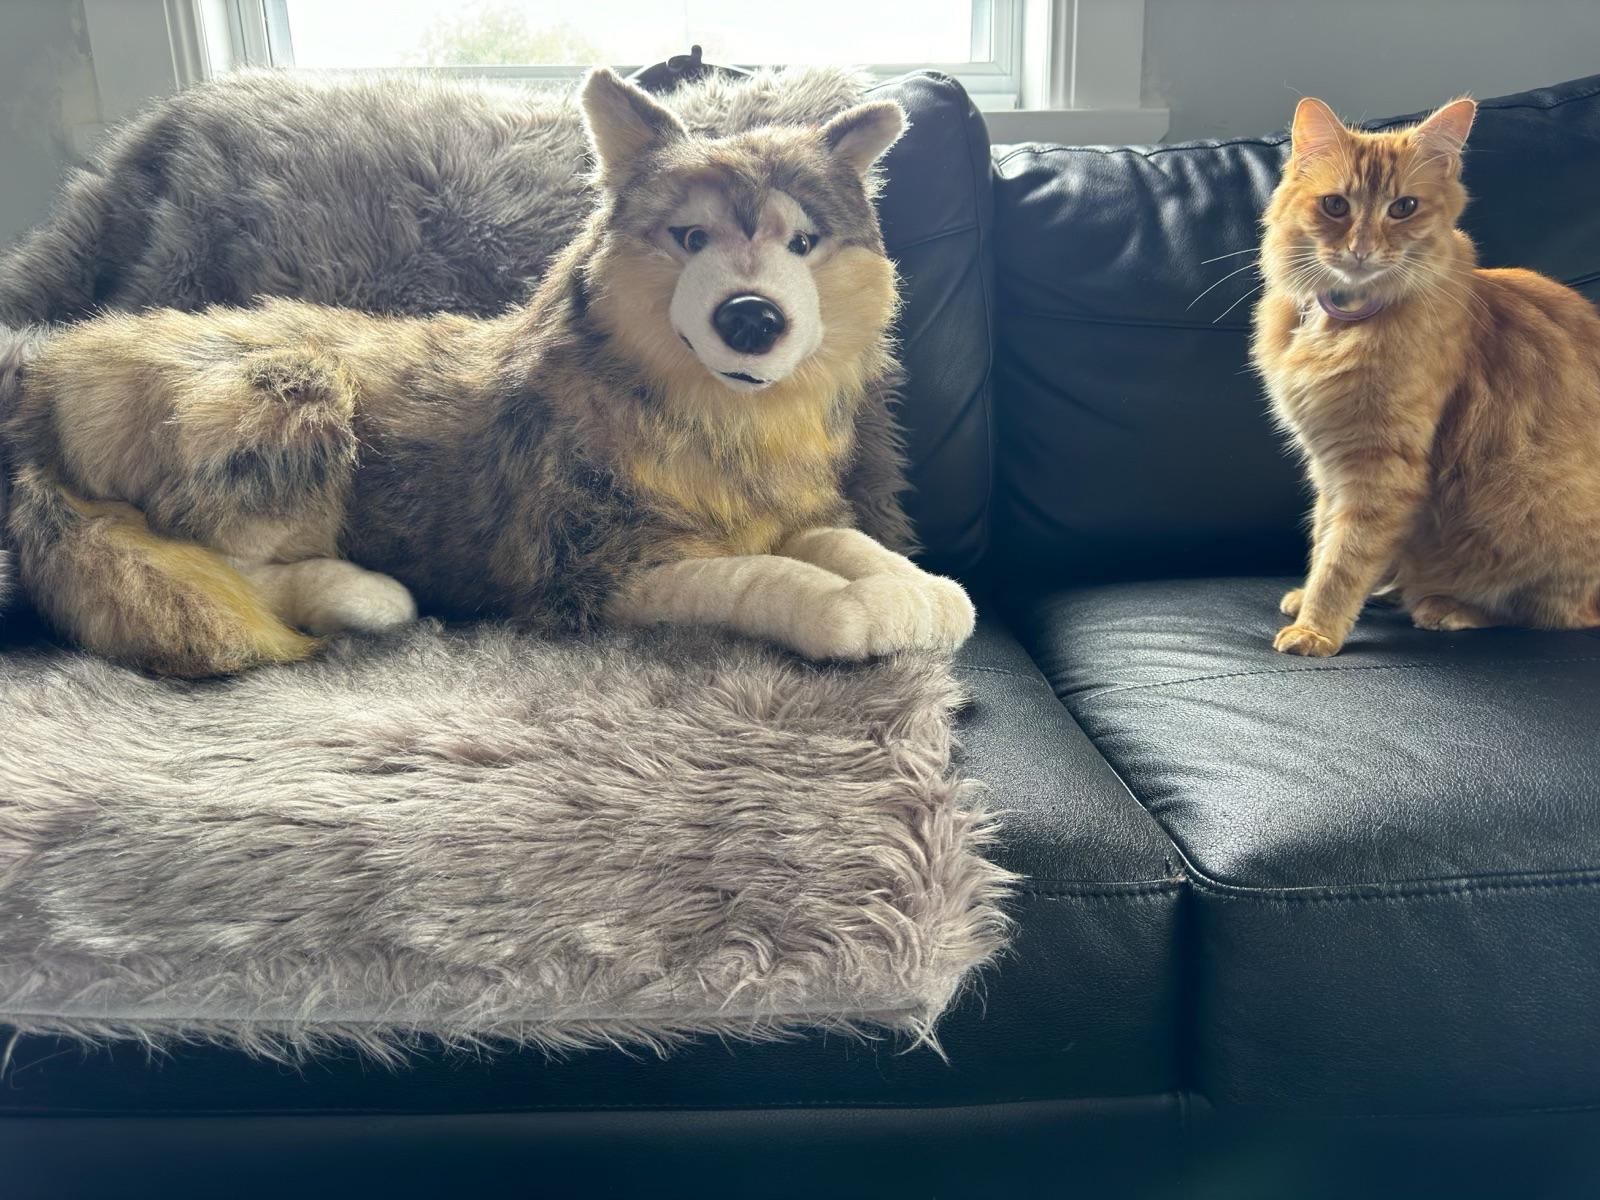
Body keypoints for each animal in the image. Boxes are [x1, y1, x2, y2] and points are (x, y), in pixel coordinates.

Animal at [1, 69, 974, 677]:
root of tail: (61, 360)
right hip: (294, 392)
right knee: (225, 563)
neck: (709, 421)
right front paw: (852, 610)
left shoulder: (785, 513)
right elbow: (774, 581)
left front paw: (917, 590)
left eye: (802, 241)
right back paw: (360, 595)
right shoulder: (588, 571)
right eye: (691, 235)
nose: (750, 317)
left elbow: (850, 546)